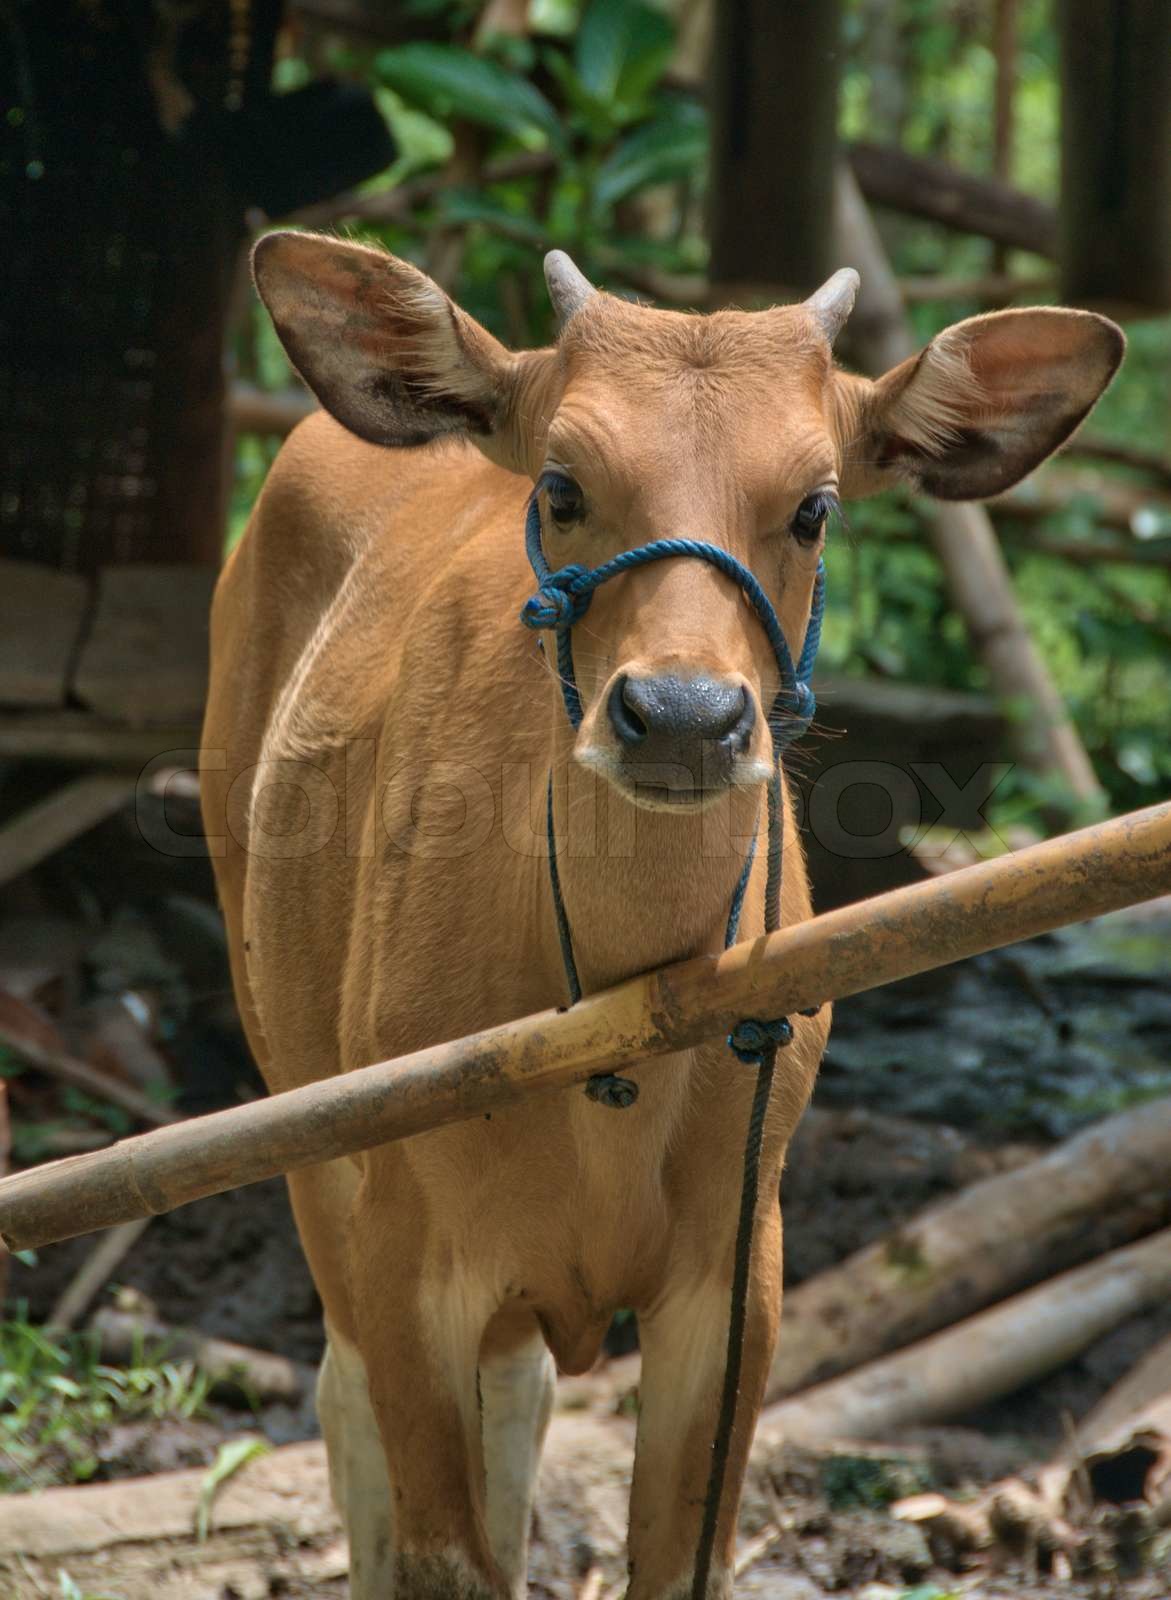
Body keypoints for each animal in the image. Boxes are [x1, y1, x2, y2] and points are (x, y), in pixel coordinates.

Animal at [200, 232, 1122, 1600]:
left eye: (816, 504)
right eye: (563, 483)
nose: (684, 717)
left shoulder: (741, 1263)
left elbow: (676, 1558)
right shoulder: (401, 1239)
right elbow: (438, 1547)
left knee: (518, 1397)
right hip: (295, 1094)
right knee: (341, 1395)